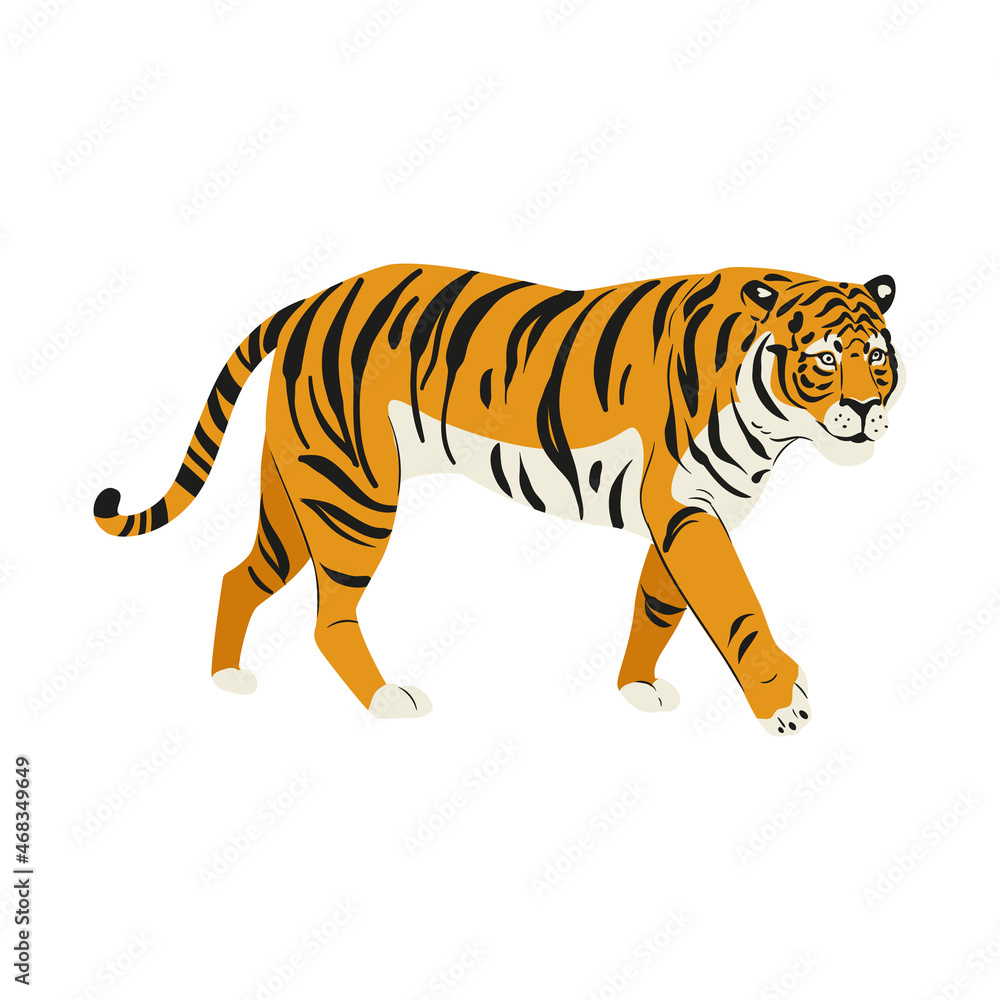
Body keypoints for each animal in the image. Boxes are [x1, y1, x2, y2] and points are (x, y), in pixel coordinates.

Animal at [93, 264, 901, 735]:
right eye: (824, 359)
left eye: (878, 357)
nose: (866, 411)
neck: (773, 424)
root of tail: (306, 302)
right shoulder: (685, 508)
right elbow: (736, 606)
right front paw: (783, 703)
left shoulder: (689, 513)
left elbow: (660, 603)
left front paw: (636, 688)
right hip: (354, 495)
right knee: (328, 617)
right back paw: (386, 700)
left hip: (299, 494)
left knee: (241, 576)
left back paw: (226, 677)